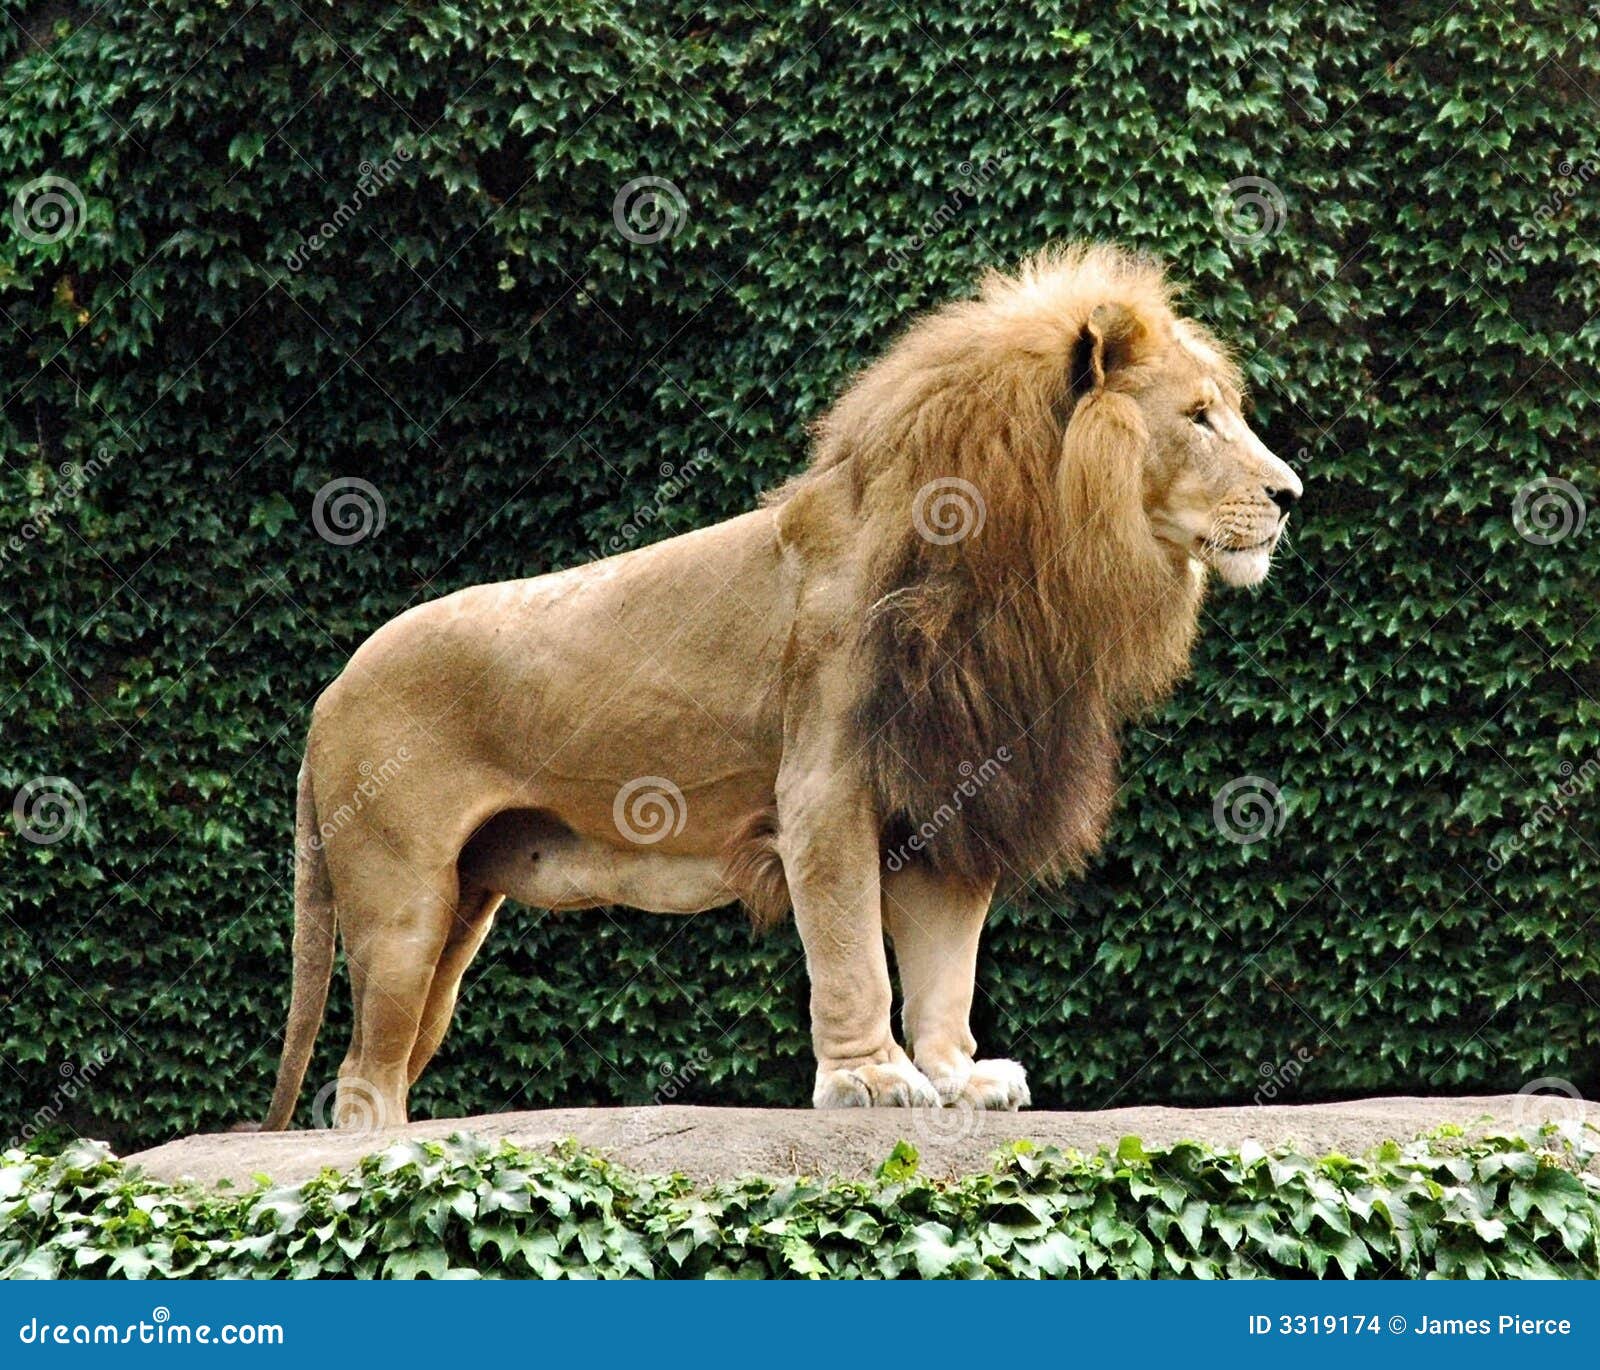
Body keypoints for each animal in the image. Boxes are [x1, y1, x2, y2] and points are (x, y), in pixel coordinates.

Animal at [255, 243, 1301, 1129]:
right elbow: (852, 952)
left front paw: (958, 1077)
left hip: (461, 912)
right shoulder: (824, 788)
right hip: (402, 903)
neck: (1031, 566)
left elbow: (946, 963)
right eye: (1199, 417)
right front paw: (870, 1080)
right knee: (361, 1081)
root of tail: (330, 690)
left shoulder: (950, 786)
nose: (1292, 495)